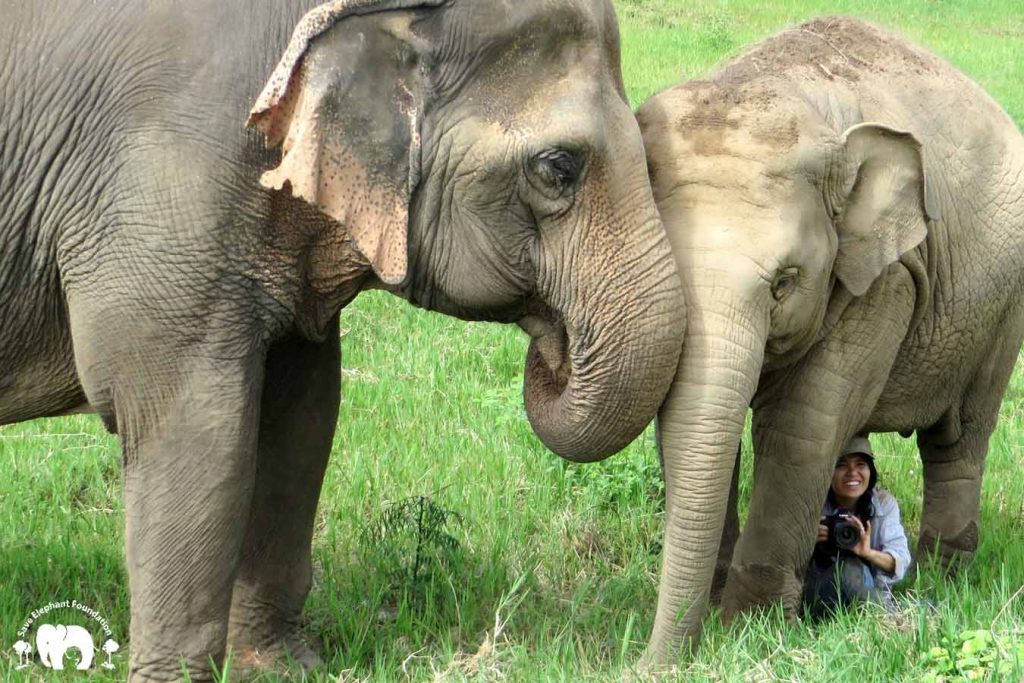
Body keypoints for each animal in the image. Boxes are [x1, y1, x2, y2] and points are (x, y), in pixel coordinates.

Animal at [0, 1, 685, 680]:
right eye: (558, 168)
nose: (554, 347)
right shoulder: (164, 192)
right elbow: (192, 427)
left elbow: (301, 414)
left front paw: (279, 669)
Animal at [635, 16, 1024, 664]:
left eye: (785, 282)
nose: (647, 665)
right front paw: (721, 610)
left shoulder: (887, 277)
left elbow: (801, 428)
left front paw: (750, 628)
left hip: (1003, 306)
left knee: (959, 436)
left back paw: (945, 576)